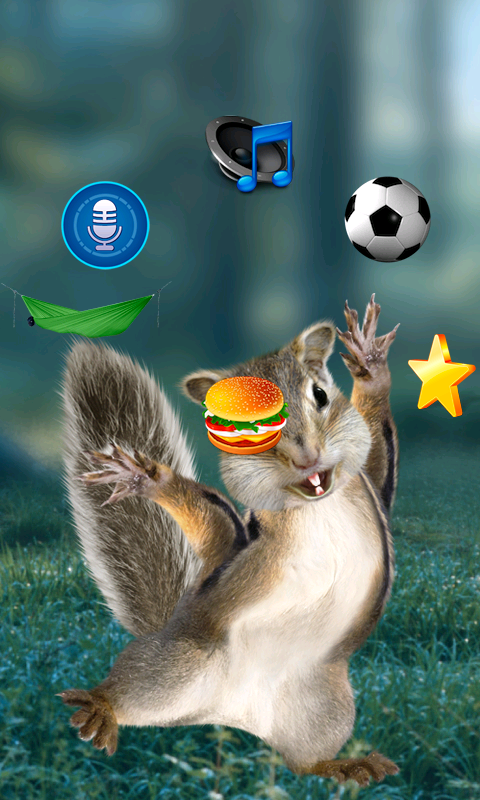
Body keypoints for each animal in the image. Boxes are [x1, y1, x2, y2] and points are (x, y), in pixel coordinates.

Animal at [58, 294, 400, 788]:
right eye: (238, 430)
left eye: (320, 395)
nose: (307, 458)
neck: (317, 503)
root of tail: (232, 714)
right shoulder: (236, 545)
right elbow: (208, 519)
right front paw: (148, 479)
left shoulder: (369, 487)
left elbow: (376, 456)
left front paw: (369, 363)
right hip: (170, 666)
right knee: (127, 691)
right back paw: (100, 707)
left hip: (323, 705)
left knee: (301, 763)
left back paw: (343, 766)